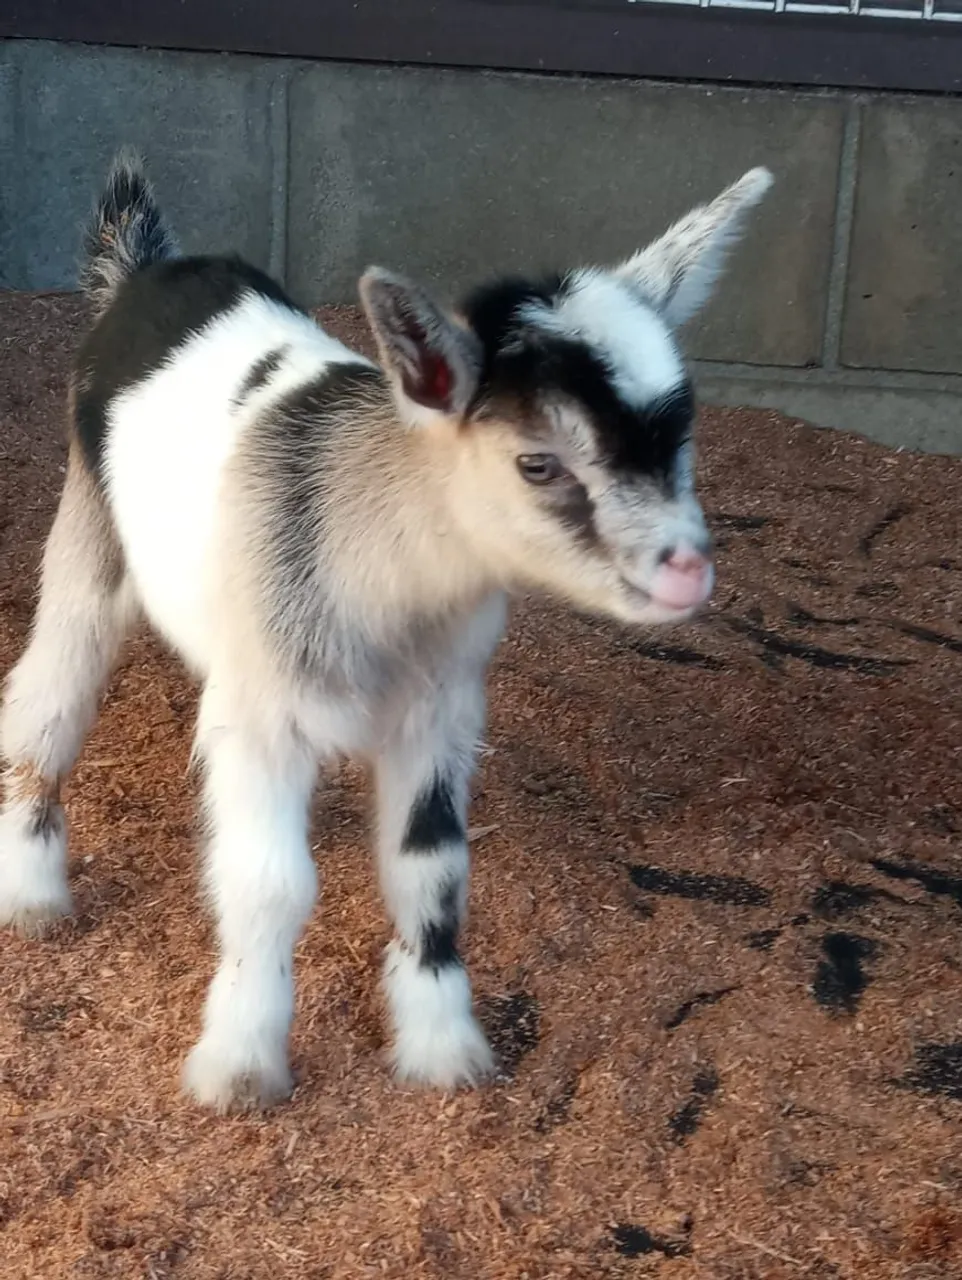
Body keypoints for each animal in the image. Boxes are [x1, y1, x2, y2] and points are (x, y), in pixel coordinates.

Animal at [0, 152, 773, 1111]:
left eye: (681, 439)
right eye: (539, 462)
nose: (687, 571)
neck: (378, 563)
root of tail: (145, 270)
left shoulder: (438, 713)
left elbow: (430, 868)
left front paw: (442, 1048)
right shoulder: (261, 716)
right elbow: (269, 883)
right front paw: (241, 1064)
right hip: (90, 536)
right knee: (49, 695)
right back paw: (30, 891)